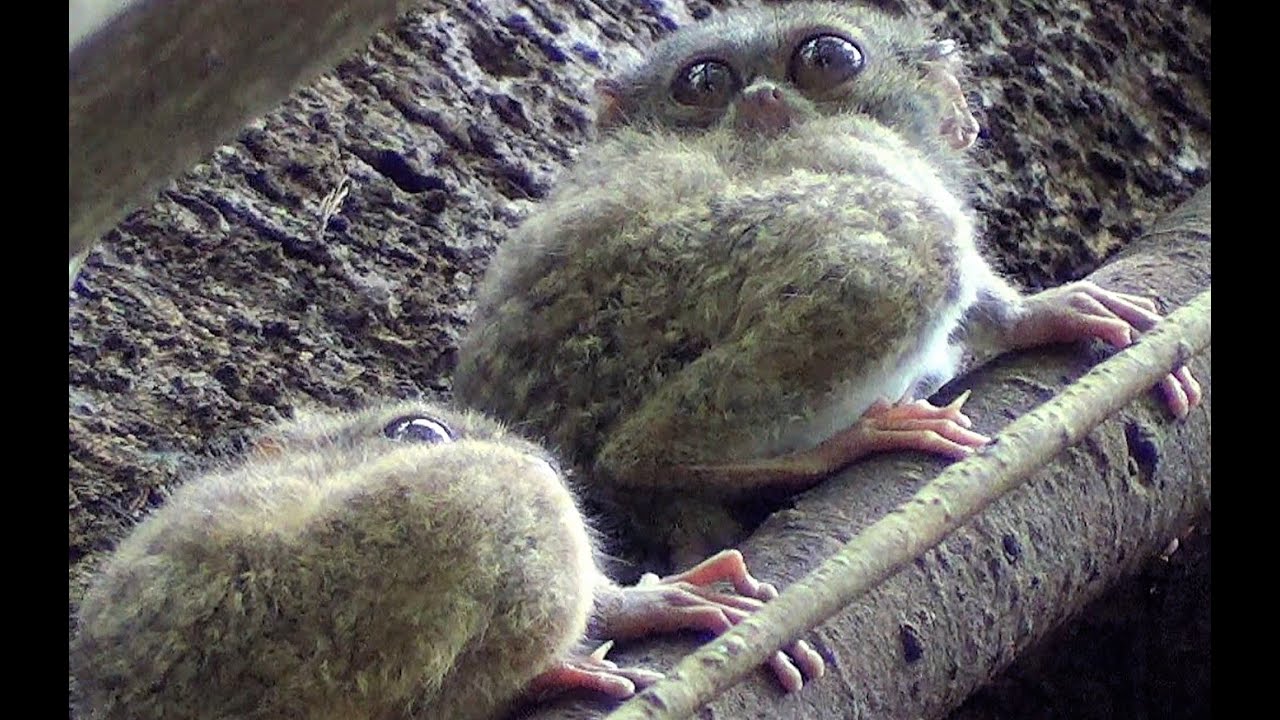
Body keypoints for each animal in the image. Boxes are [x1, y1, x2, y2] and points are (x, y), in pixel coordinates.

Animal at [452, 1, 1202, 572]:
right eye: (704, 80)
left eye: (826, 60)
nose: (760, 99)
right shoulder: (852, 147)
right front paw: (1033, 312)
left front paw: (1057, 313)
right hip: (638, 313)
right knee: (918, 243)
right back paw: (839, 442)